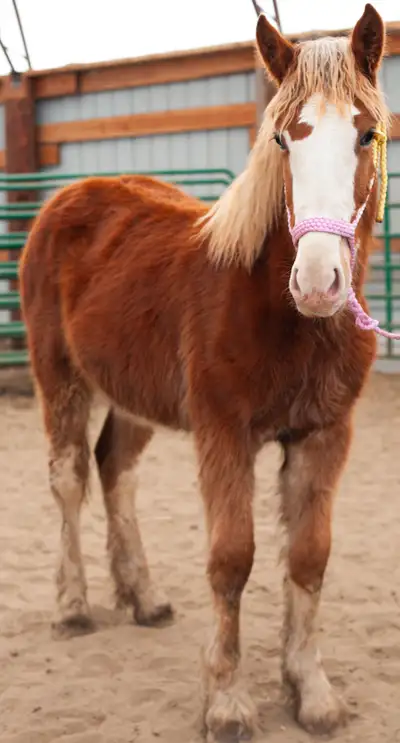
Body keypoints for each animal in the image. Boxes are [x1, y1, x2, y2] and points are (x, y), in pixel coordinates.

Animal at [19, 4, 390, 741]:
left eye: (366, 134)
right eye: (282, 139)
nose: (318, 283)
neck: (280, 314)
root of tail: (64, 199)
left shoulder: (324, 436)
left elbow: (308, 557)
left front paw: (312, 692)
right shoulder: (224, 433)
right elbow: (232, 559)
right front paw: (227, 702)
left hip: (133, 394)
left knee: (116, 469)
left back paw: (145, 597)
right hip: (61, 380)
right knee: (70, 479)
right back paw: (73, 605)